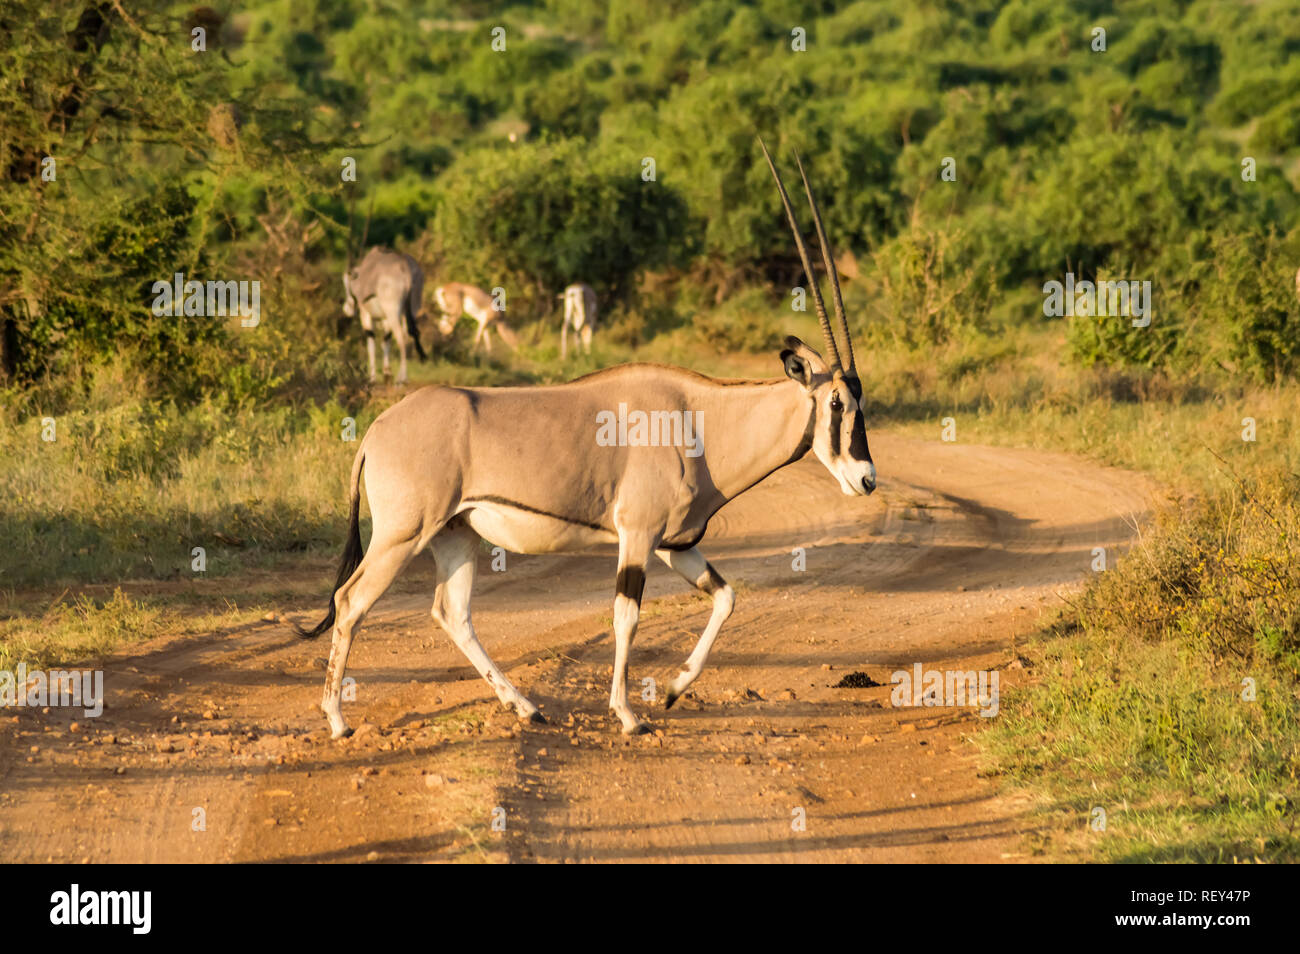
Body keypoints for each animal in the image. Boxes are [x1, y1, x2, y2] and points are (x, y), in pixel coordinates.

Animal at [342, 247, 428, 384]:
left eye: (346, 285)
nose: (347, 309)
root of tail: (405, 269)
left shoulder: (365, 313)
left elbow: (371, 342)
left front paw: (372, 378)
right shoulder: (385, 319)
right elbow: (385, 340)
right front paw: (387, 373)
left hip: (392, 311)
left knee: (401, 337)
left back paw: (401, 379)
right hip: (411, 309)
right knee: (408, 334)